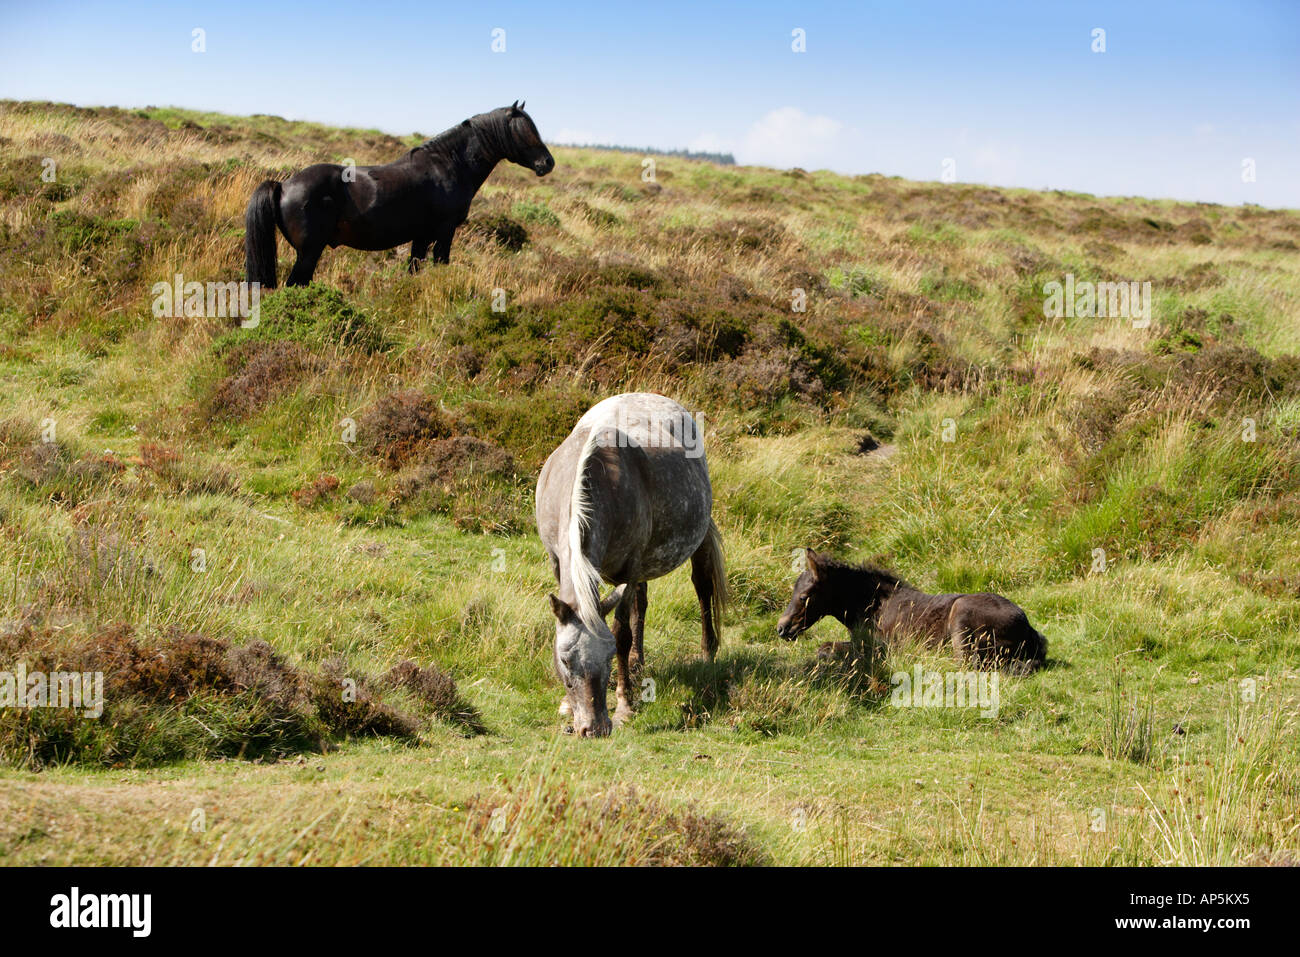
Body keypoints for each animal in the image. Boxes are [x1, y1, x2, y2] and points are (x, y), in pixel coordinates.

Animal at [244, 102, 554, 288]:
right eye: (524, 131)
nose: (547, 163)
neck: (449, 164)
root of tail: (284, 185)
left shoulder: (422, 236)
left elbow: (415, 269)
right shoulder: (445, 230)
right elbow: (440, 263)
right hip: (308, 253)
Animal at [536, 393, 727, 737]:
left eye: (609, 657)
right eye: (565, 660)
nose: (594, 727)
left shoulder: (631, 565)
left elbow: (622, 633)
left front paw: (625, 706)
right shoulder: (557, 562)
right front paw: (567, 704)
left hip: (695, 540)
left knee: (702, 587)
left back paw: (708, 653)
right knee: (642, 603)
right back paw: (639, 664)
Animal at [777, 550, 1047, 672]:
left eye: (804, 596)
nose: (782, 628)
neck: (869, 605)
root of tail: (1030, 631)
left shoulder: (882, 645)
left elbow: (825, 649)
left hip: (961, 615)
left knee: (964, 662)